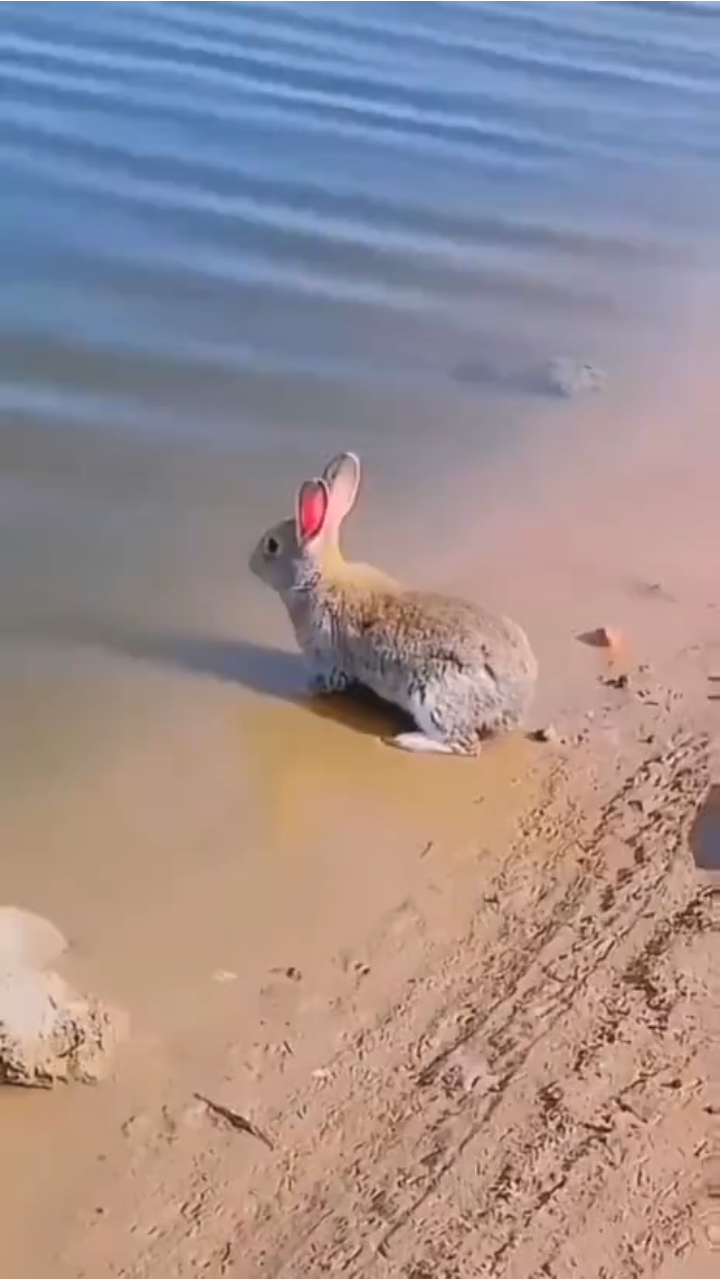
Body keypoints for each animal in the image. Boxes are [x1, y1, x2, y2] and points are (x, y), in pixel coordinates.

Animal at [249, 451, 538, 755]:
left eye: (272, 545)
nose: (251, 562)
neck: (318, 578)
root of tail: (515, 704)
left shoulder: (328, 654)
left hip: (435, 696)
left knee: (463, 744)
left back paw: (405, 740)